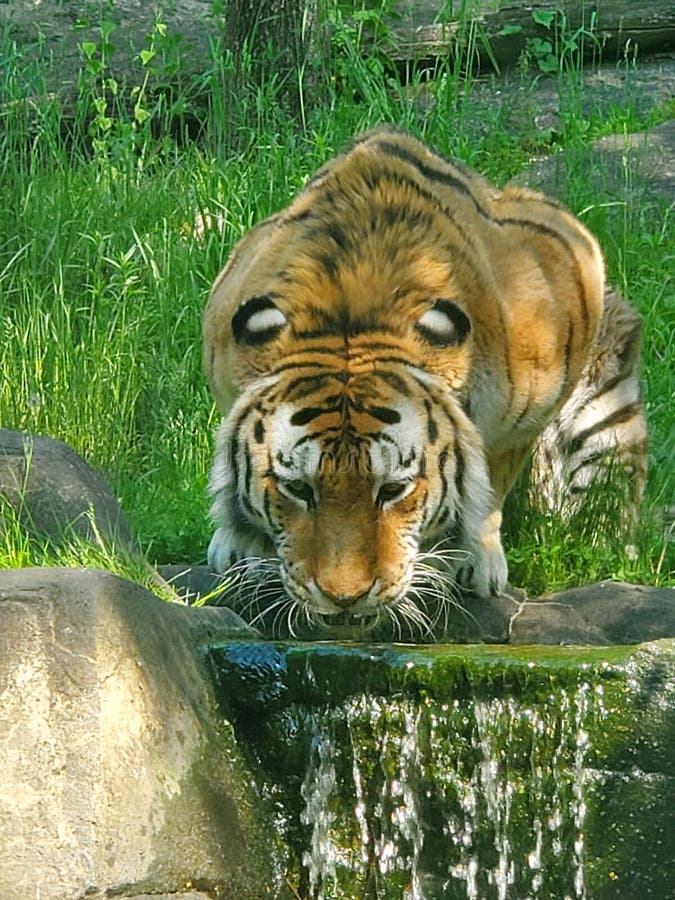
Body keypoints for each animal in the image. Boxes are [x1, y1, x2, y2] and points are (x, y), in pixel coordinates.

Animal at [202, 126, 646, 636]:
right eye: (297, 488)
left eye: (394, 489)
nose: (344, 598)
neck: (353, 312)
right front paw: (241, 544)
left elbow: (493, 472)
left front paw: (478, 559)